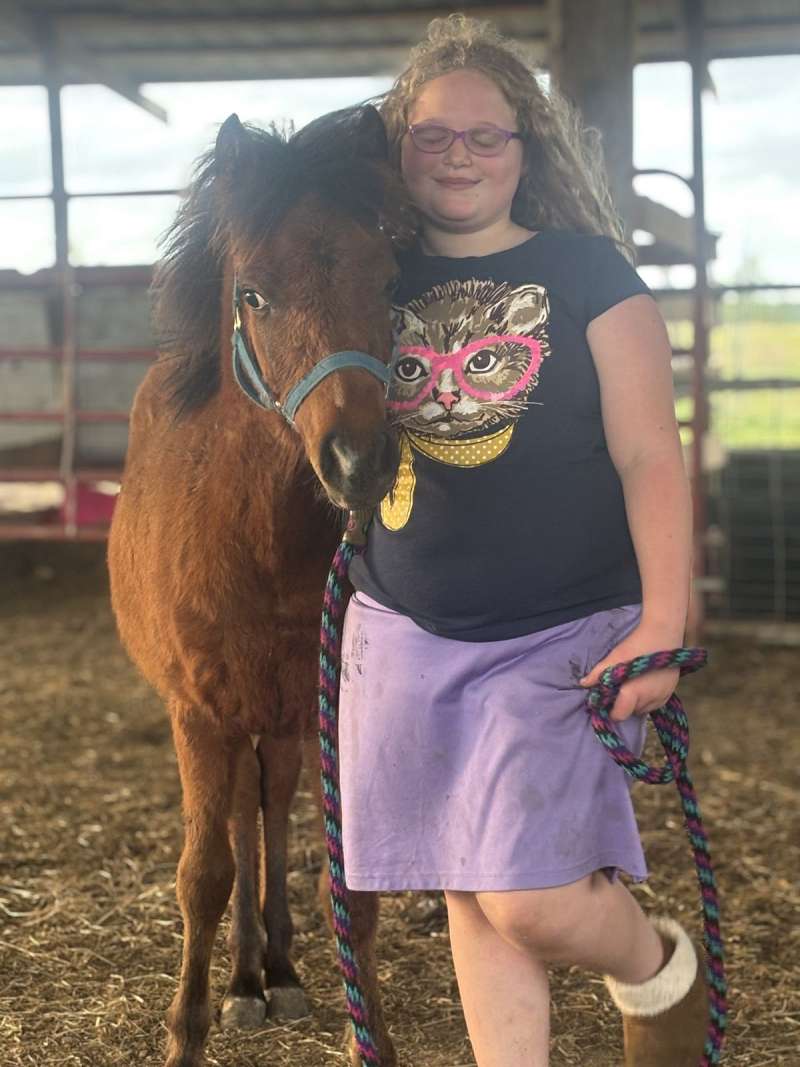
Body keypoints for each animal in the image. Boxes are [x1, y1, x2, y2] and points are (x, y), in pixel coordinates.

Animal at [108, 106, 408, 1067]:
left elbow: (349, 886)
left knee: (270, 806)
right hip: (234, 715)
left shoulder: (331, 707)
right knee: (243, 815)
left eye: (388, 277)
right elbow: (204, 874)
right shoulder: (198, 712)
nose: (360, 461)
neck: (261, 543)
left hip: (281, 716)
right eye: (253, 294)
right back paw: (244, 977)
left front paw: (365, 1026)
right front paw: (187, 1029)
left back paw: (273, 966)